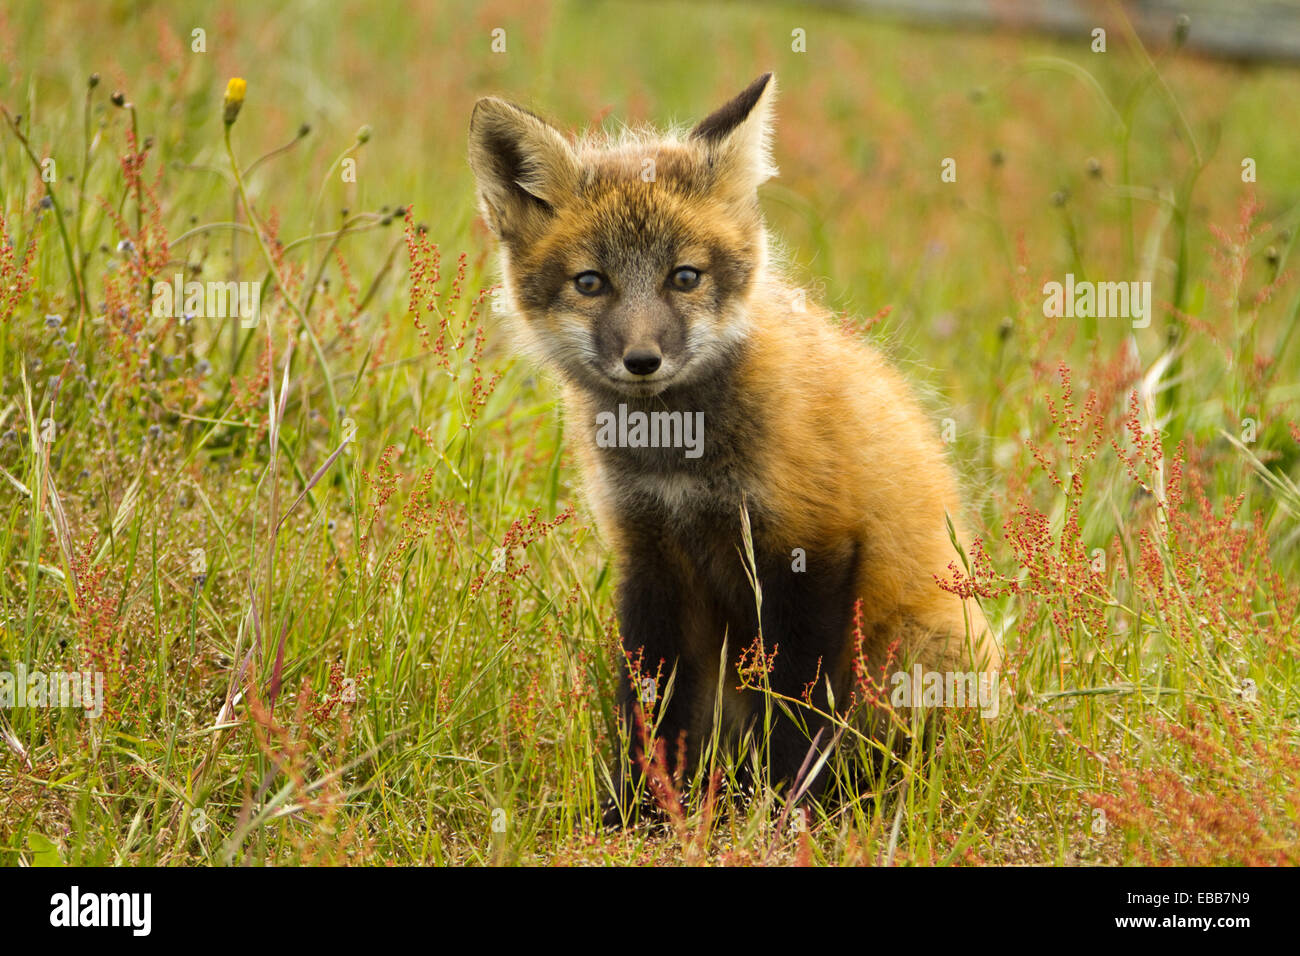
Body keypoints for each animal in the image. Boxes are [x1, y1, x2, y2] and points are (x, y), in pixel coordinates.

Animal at [468, 73, 1000, 822]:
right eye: (591, 282)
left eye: (684, 277)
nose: (642, 361)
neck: (678, 458)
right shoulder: (650, 556)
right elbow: (650, 710)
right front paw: (640, 815)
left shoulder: (811, 550)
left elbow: (799, 708)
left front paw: (786, 814)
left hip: (923, 654)